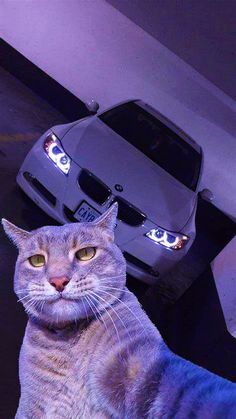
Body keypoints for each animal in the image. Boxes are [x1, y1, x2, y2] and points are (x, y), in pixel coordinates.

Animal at [1, 202, 236, 418]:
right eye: (37, 260)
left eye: (86, 253)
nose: (58, 280)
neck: (70, 340)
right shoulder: (31, 406)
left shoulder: (135, 360)